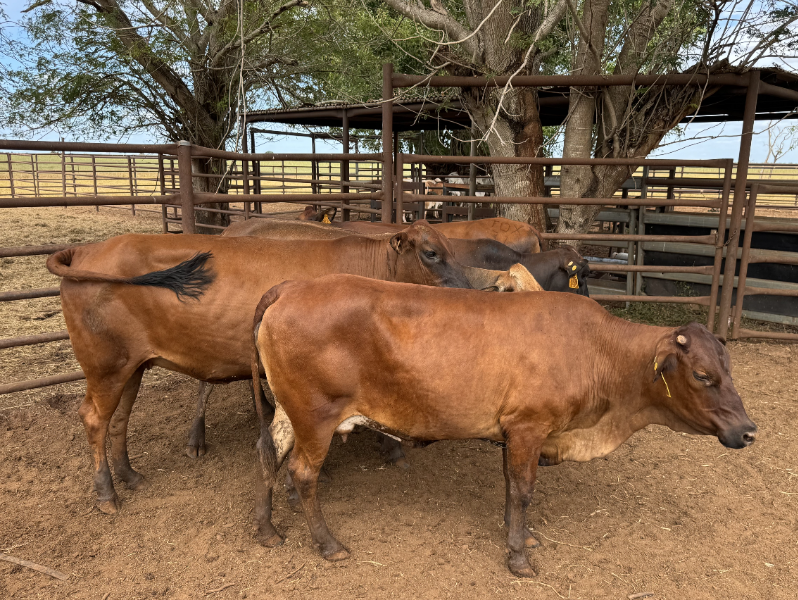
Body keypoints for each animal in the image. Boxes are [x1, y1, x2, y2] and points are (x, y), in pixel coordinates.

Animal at [46, 222, 478, 514]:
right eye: (431, 253)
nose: (470, 291)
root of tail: (88, 251)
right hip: (105, 367)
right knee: (94, 418)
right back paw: (107, 493)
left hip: (129, 366)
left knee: (119, 418)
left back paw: (130, 475)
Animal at [250, 275, 757, 577]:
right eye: (702, 375)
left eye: (729, 368)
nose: (749, 430)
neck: (597, 351)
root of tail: (292, 287)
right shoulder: (530, 427)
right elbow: (525, 489)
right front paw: (519, 556)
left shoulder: (512, 434)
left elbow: (512, 489)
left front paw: (522, 535)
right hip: (317, 415)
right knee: (302, 472)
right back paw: (328, 543)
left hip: (289, 412)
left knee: (267, 454)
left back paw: (267, 529)